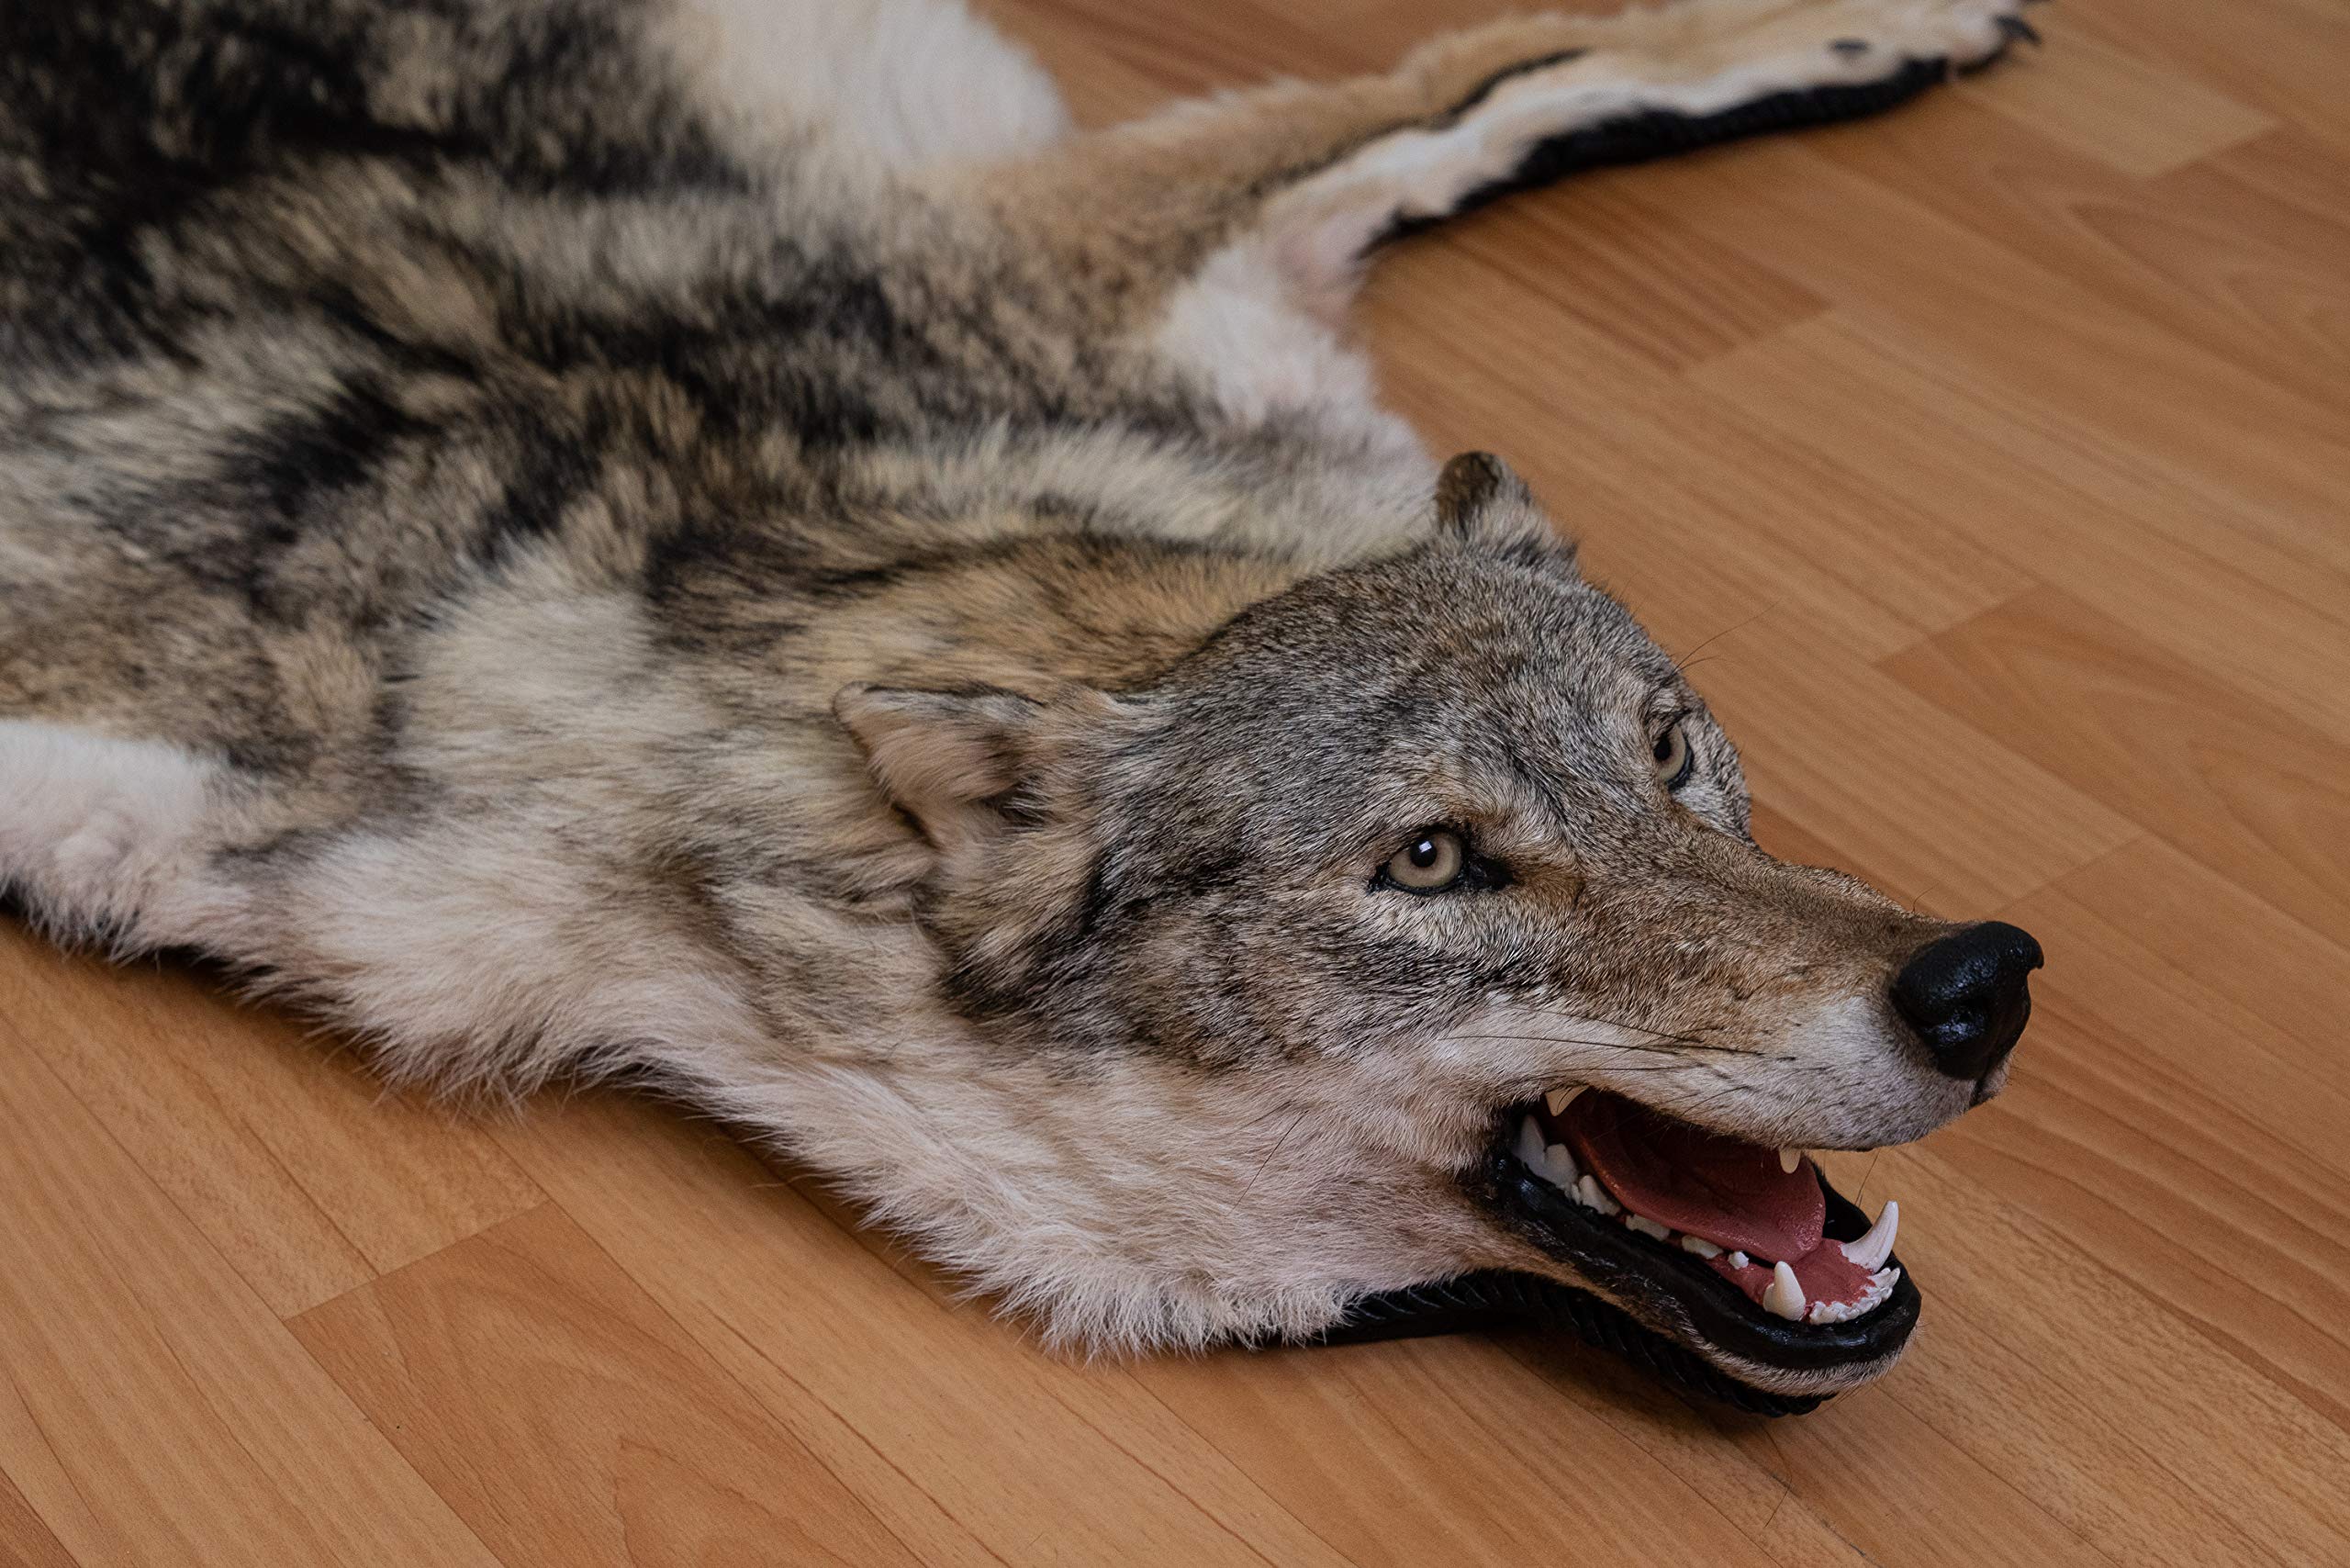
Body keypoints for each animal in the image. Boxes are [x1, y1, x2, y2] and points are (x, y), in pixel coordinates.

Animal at [0, 0, 2047, 1406]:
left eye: (1667, 748)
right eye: (1430, 861)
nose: (1978, 979)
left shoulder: (1068, 269)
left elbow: (1475, 66)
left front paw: (1853, 23)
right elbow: (1449, 75)